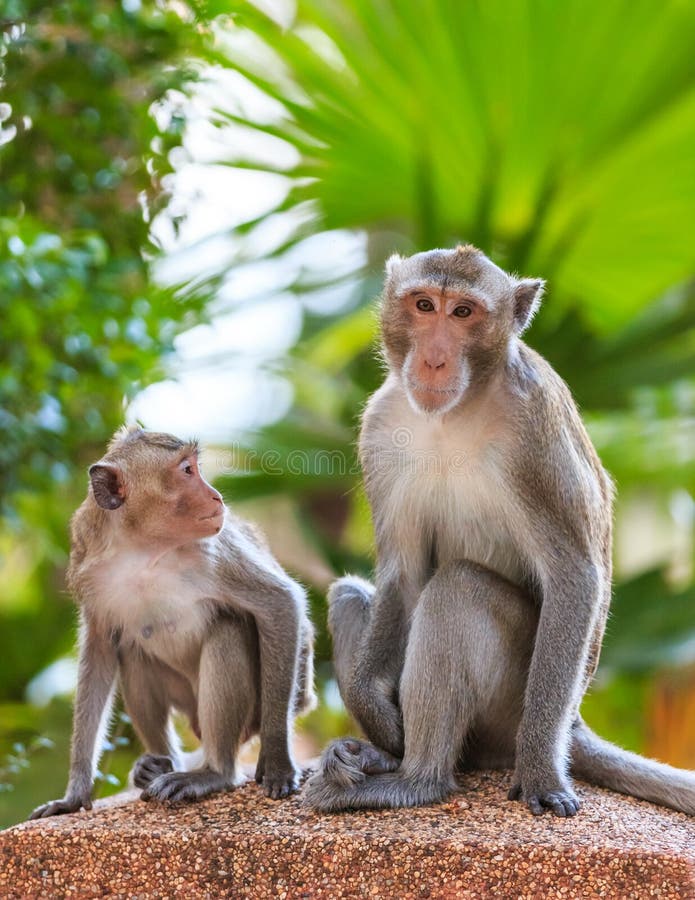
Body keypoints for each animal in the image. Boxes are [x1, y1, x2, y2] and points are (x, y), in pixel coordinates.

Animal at [30, 426, 315, 819]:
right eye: (186, 471)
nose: (216, 497)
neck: (144, 551)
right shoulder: (89, 569)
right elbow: (100, 651)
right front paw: (74, 795)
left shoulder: (214, 554)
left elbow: (280, 604)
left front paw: (276, 760)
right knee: (132, 652)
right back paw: (161, 765)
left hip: (251, 713)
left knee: (227, 631)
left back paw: (213, 774)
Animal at [304, 245, 695, 818]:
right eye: (424, 305)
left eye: (463, 313)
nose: (434, 359)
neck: (454, 414)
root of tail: (576, 726)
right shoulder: (380, 426)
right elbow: (402, 572)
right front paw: (375, 713)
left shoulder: (535, 426)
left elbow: (575, 575)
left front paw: (539, 774)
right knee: (351, 594)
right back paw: (386, 756)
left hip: (514, 700)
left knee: (460, 588)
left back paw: (418, 780)